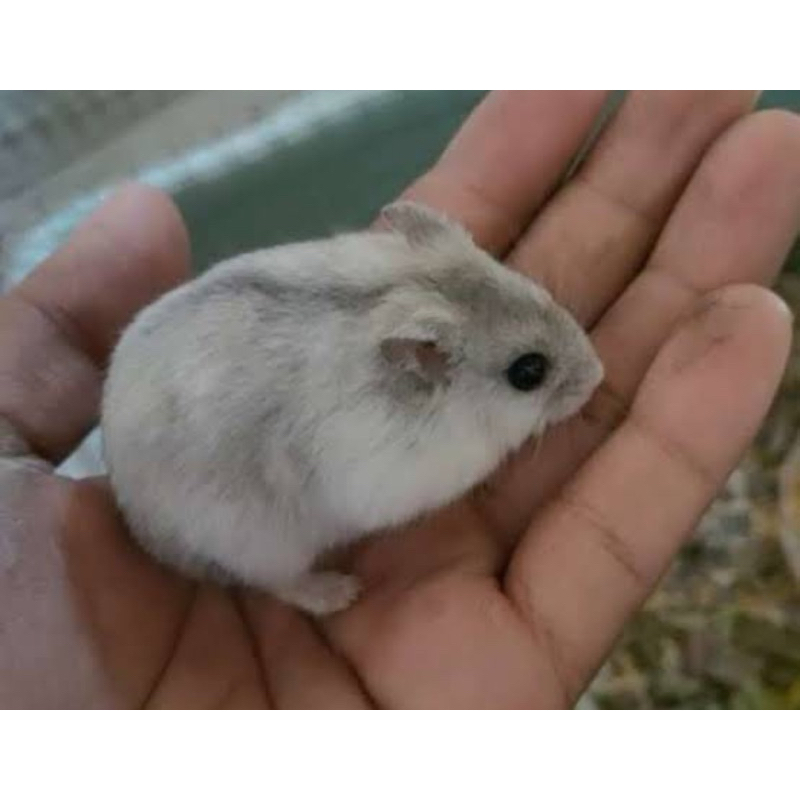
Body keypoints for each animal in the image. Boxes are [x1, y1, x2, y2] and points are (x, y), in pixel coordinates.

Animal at [101, 202, 603, 615]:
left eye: (537, 290)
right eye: (528, 372)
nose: (599, 374)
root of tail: (141, 531)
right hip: (262, 546)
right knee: (277, 584)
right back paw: (341, 593)